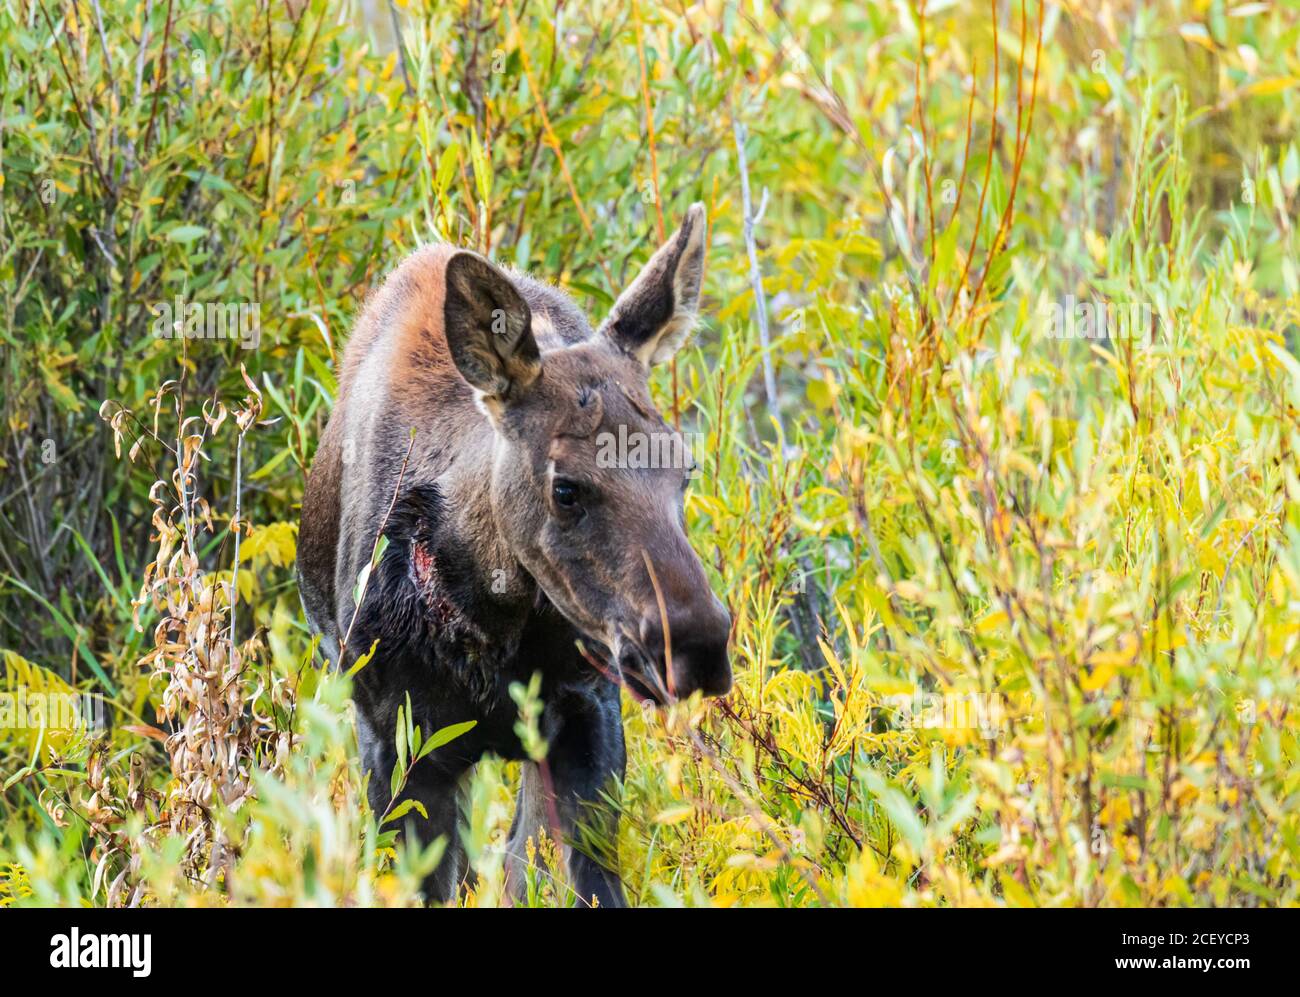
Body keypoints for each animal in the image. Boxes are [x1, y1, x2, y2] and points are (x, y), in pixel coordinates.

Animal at [297, 204, 732, 907]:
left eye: (684, 468)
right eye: (566, 487)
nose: (696, 644)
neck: (483, 610)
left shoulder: (588, 714)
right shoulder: (394, 739)